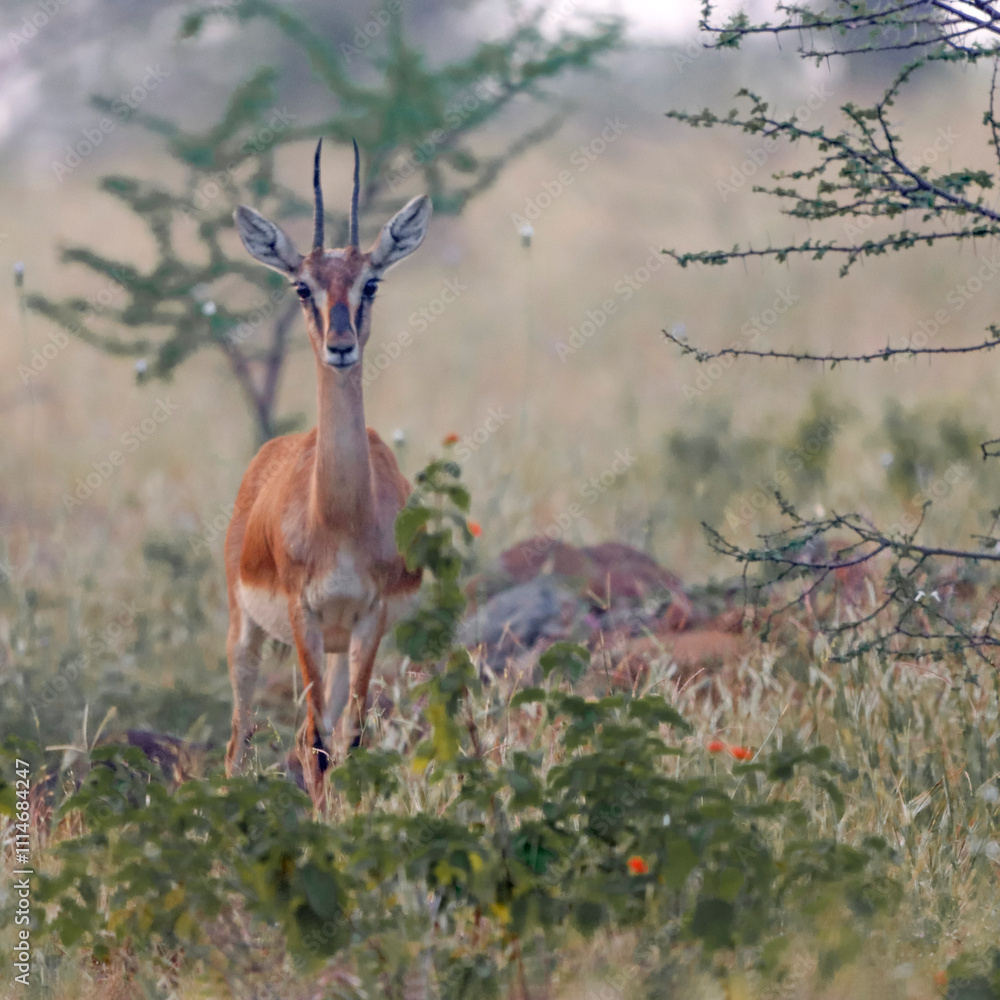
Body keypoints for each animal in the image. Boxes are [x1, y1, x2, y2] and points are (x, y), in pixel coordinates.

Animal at [225, 139, 431, 800]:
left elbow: (350, 739)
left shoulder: (367, 618)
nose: (341, 346)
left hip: (339, 646)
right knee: (240, 740)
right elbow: (317, 742)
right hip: (246, 633)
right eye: (301, 286)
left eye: (372, 282)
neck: (339, 517)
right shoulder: (304, 615)